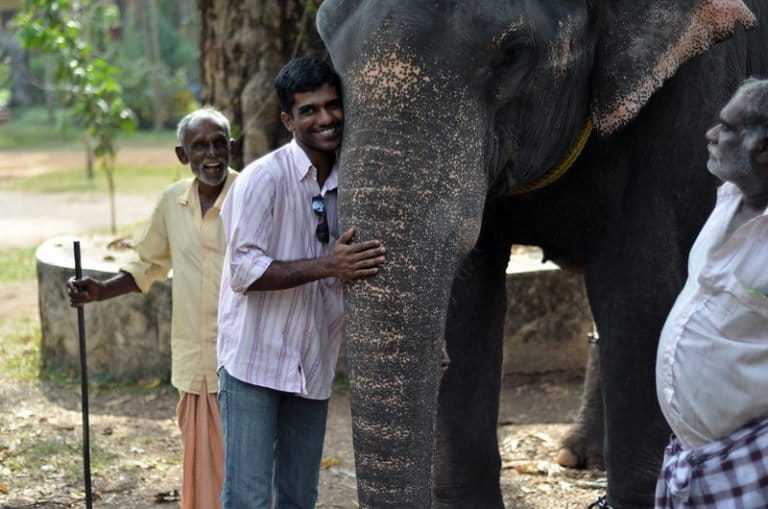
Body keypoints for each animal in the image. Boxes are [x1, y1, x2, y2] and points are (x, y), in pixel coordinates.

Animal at [315, 1, 768, 508]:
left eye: (512, 54)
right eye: (326, 42)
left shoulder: (694, 93)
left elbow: (642, 293)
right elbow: (468, 300)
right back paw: (578, 454)